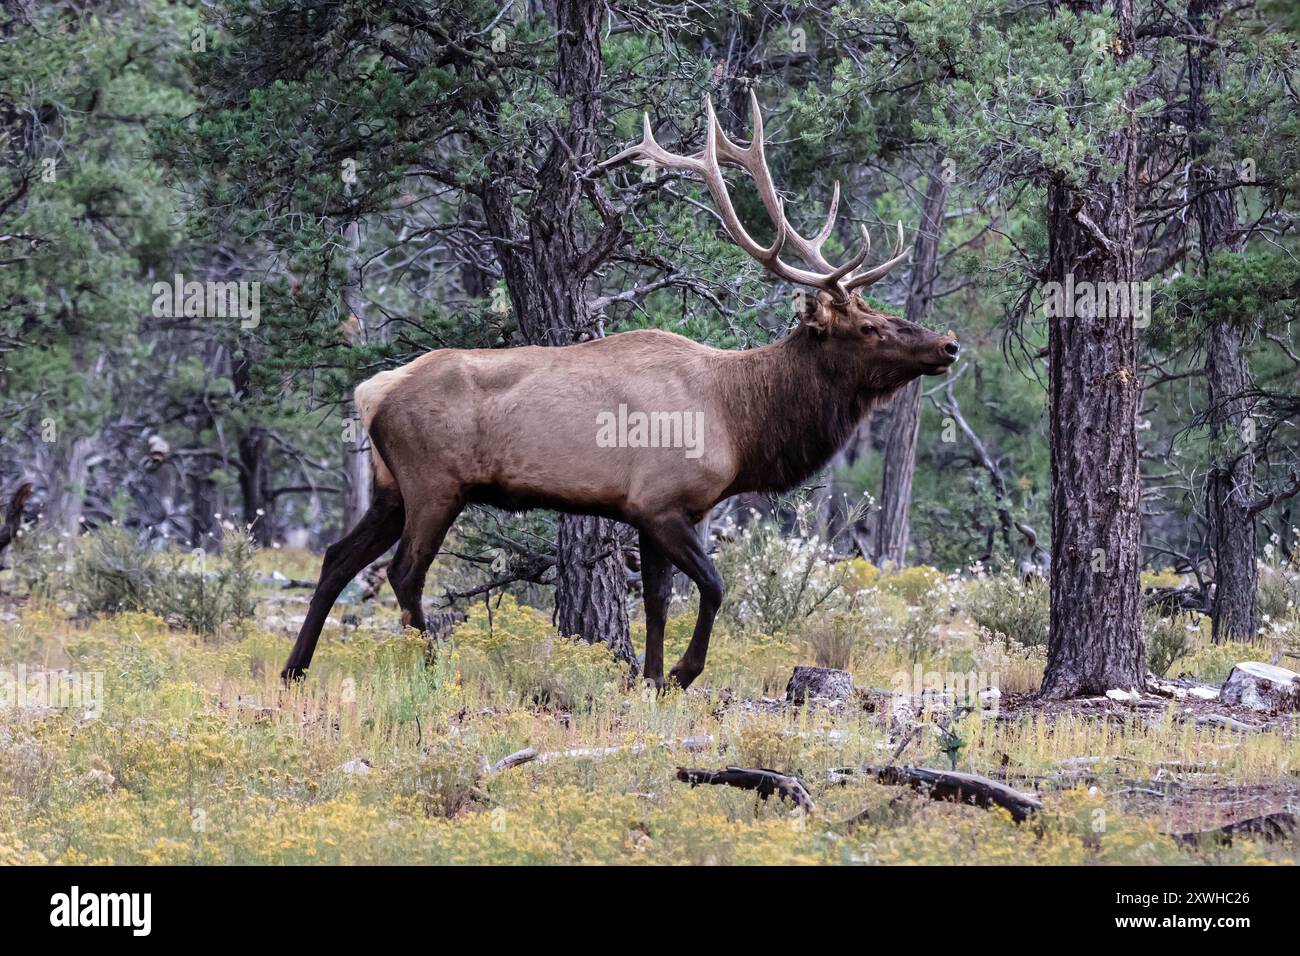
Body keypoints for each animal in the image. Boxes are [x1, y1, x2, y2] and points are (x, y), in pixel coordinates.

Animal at [281, 93, 959, 688]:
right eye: (868, 326)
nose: (948, 345)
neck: (741, 424)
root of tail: (372, 391)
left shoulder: (664, 511)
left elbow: (656, 600)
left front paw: (649, 678)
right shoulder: (661, 502)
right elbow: (713, 587)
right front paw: (682, 673)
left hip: (390, 486)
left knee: (337, 558)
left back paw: (295, 670)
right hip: (434, 482)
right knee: (404, 572)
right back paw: (427, 668)